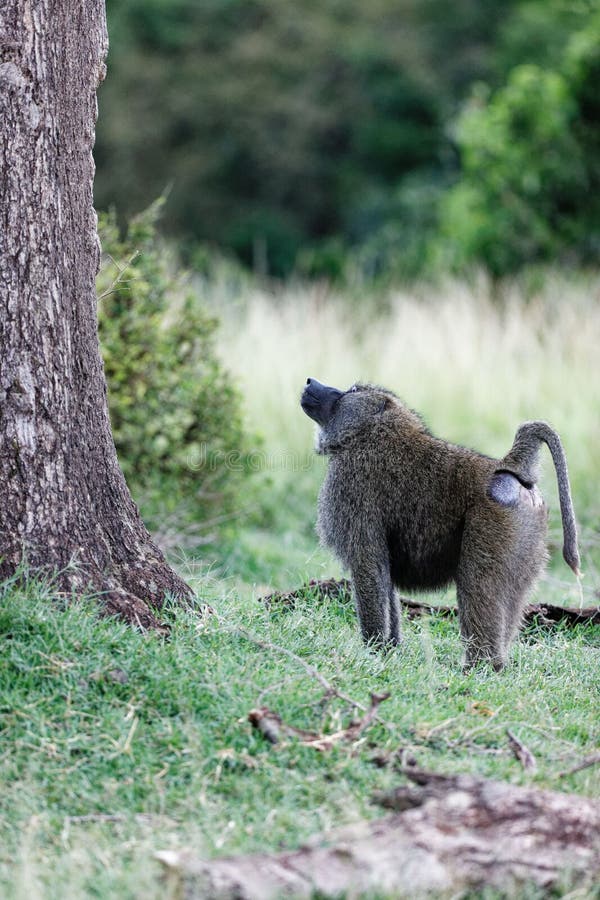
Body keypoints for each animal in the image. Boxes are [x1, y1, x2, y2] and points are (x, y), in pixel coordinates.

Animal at [300, 378, 580, 669]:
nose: (311, 382)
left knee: (478, 588)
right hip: (528, 532)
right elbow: (384, 575)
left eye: (352, 391)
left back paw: (479, 667)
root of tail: (507, 467)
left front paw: (372, 652)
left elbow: (368, 565)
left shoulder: (349, 485)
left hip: (496, 522)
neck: (370, 431)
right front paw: (390, 649)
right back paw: (496, 665)